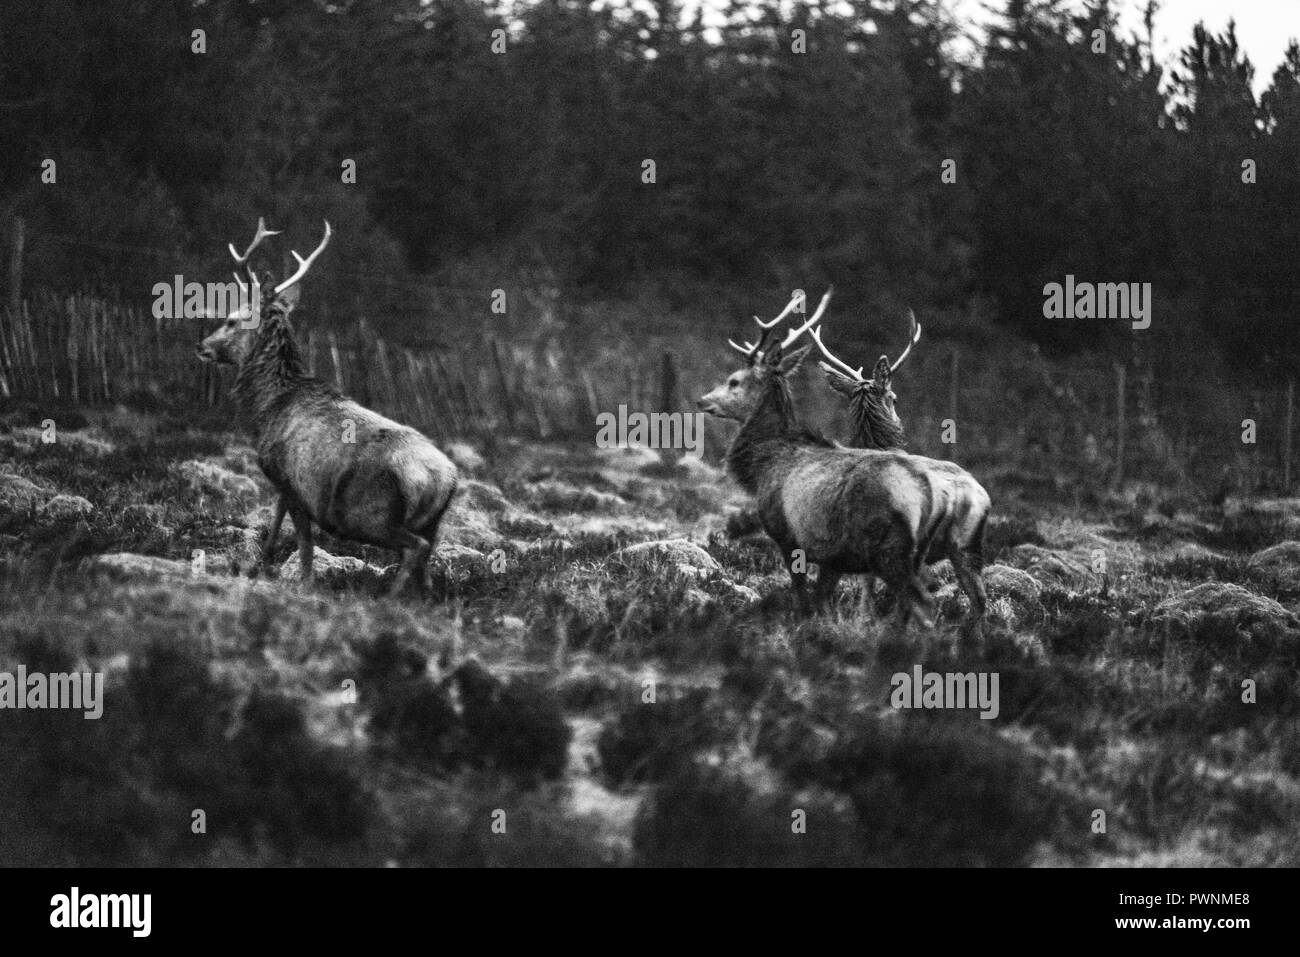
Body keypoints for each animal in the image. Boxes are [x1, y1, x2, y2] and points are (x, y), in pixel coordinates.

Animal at [195, 218, 458, 597]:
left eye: (231, 320)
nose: (202, 346)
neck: (268, 408)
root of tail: (443, 479)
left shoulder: (291, 481)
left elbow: (304, 541)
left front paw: (303, 582)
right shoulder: (284, 482)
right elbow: (275, 520)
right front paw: (259, 565)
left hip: (366, 513)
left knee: (415, 548)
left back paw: (389, 598)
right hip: (432, 523)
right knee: (428, 560)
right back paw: (425, 598)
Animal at [698, 290, 938, 629]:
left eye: (734, 380)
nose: (702, 400)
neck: (764, 463)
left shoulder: (785, 533)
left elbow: (804, 598)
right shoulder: (830, 555)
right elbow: (824, 600)